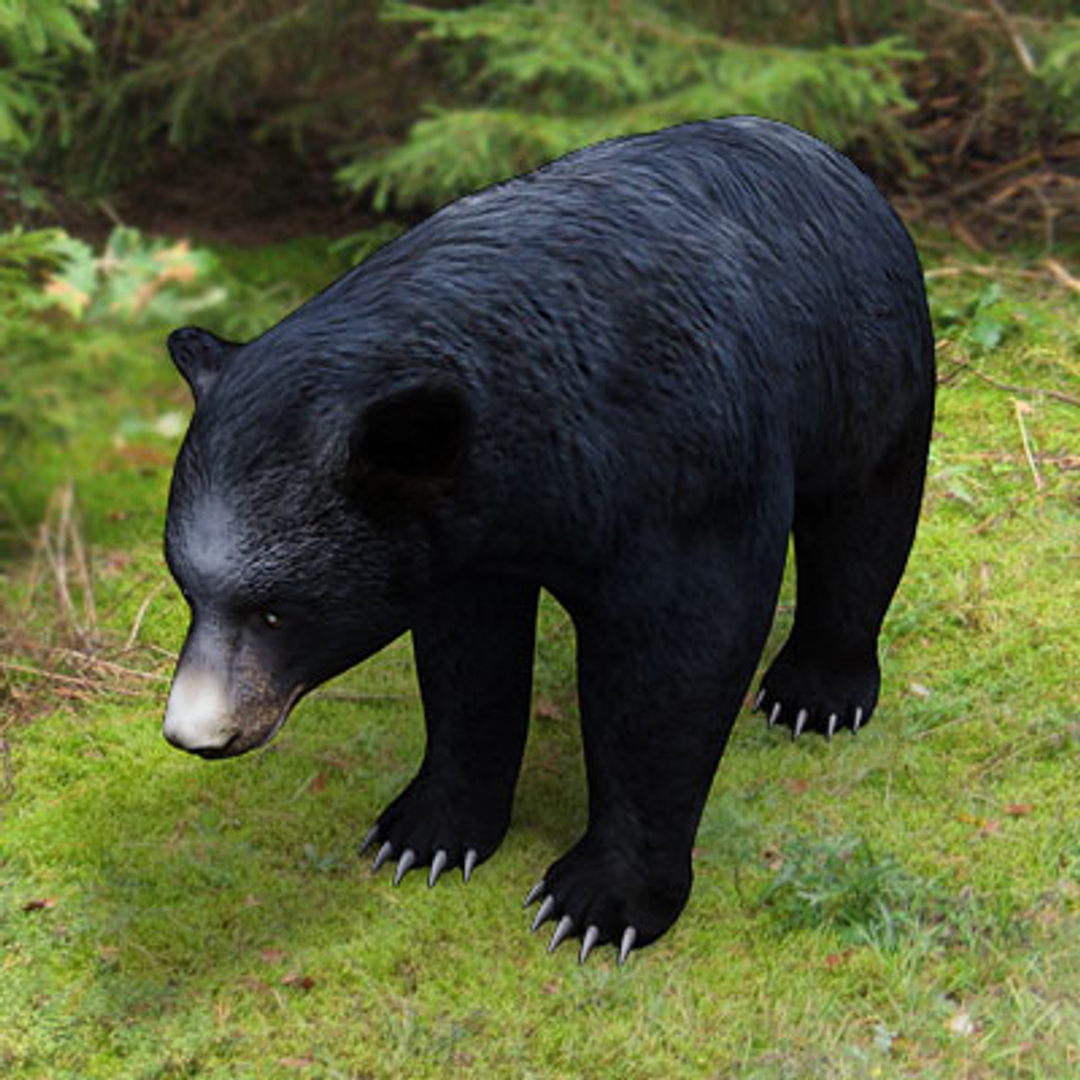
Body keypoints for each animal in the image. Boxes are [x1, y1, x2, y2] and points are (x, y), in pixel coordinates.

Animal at [161, 116, 935, 965]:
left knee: (866, 517)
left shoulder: (683, 461)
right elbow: (468, 656)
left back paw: (814, 697)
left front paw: (597, 901)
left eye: (276, 609)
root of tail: (818, 147)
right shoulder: (462, 530)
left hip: (864, 362)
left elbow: (674, 661)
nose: (194, 732)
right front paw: (424, 832)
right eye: (188, 590)